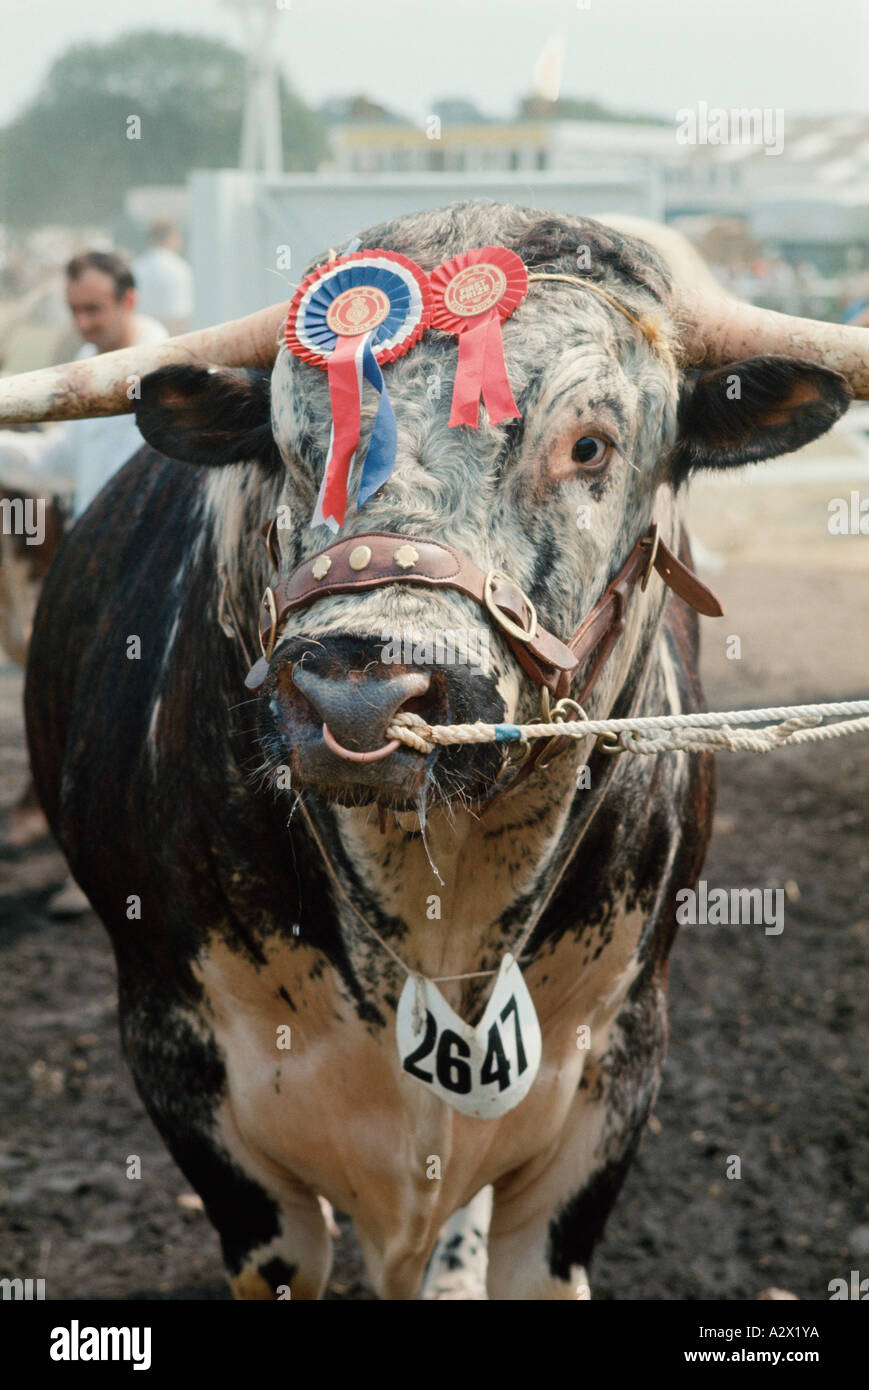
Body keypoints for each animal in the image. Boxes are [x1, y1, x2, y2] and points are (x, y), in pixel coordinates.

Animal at [4, 201, 865, 1300]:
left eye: (590, 445)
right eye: (294, 446)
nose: (357, 686)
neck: (439, 911)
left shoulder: (612, 1082)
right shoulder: (184, 1073)